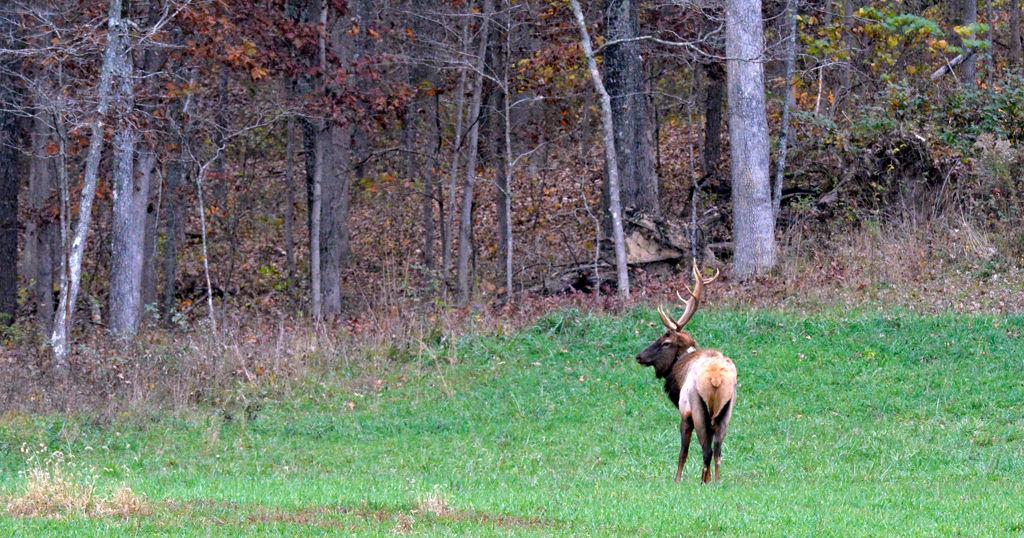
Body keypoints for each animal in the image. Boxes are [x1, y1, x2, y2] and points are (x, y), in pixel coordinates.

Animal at [635, 260, 737, 484]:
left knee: (707, 450)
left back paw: (702, 483)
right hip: (726, 411)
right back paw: (716, 482)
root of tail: (716, 379)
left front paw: (677, 480)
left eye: (665, 342)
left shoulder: (684, 413)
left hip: (699, 410)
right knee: (718, 450)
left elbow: (683, 451)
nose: (639, 356)